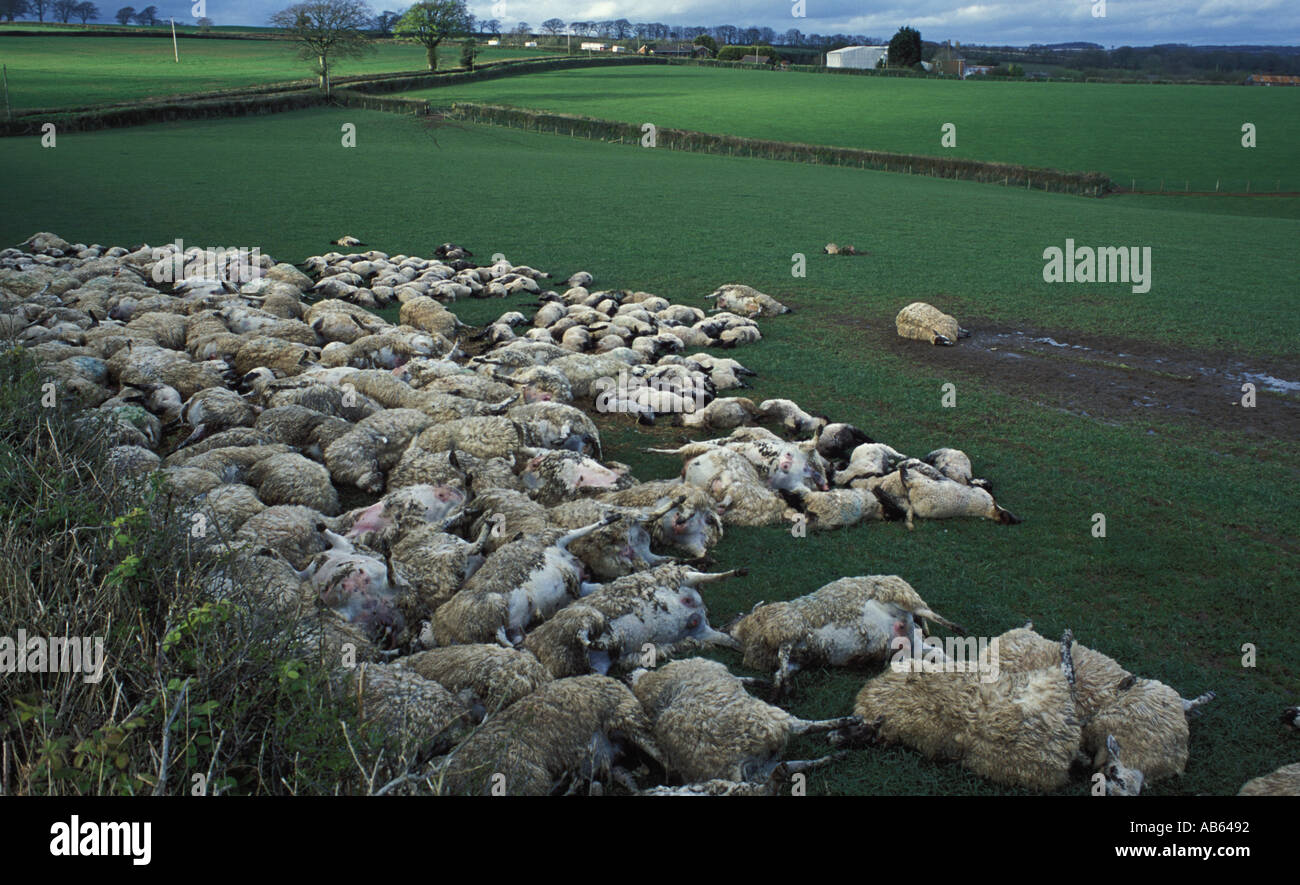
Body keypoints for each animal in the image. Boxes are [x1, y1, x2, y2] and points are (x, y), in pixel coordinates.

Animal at [631, 658, 859, 784]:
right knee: (804, 727)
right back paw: (850, 722)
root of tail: (736, 763)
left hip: (763, 769)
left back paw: (834, 756)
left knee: (793, 765)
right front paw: (764, 682)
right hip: (772, 720)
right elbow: (741, 678)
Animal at [730, 575, 963, 696]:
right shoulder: (798, 656)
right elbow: (783, 669)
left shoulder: (788, 631)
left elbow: (782, 656)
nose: (728, 626)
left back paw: (955, 628)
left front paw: (780, 686)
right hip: (911, 642)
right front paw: (781, 685)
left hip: (901, 595)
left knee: (927, 613)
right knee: (936, 651)